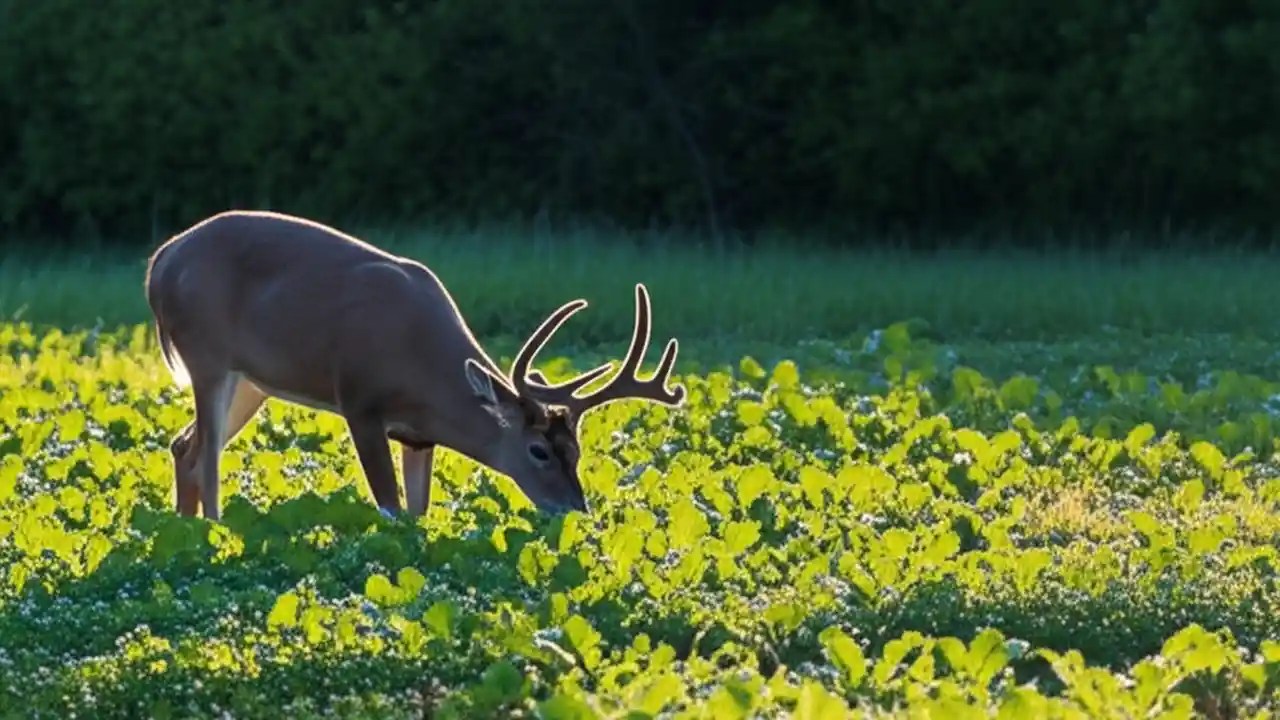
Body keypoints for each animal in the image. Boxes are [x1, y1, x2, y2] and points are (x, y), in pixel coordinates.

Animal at [144, 210, 686, 522]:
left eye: (576, 451)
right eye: (537, 451)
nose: (576, 511)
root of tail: (161, 260)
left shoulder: (418, 437)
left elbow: (418, 514)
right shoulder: (358, 399)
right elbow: (392, 509)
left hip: (253, 382)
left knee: (184, 447)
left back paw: (184, 528)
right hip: (206, 355)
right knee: (207, 459)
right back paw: (214, 532)